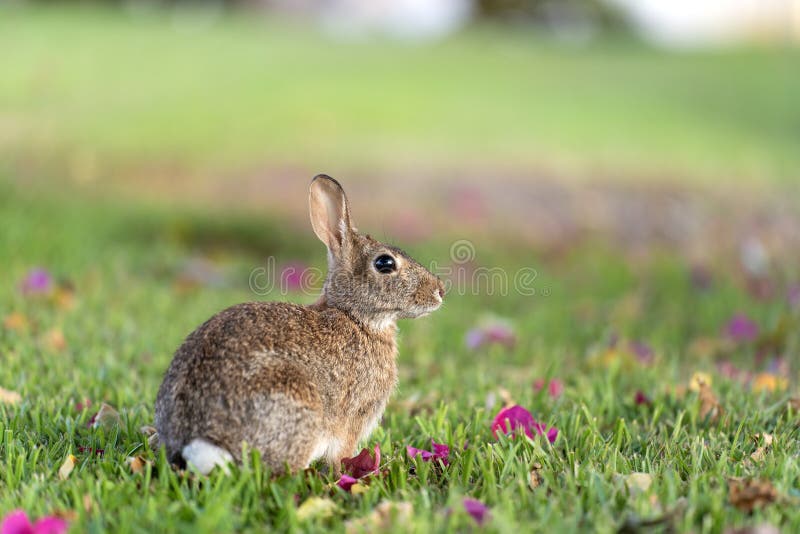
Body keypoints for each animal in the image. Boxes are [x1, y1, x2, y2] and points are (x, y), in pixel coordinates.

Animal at [154, 174, 445, 475]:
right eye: (385, 263)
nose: (440, 291)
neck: (355, 317)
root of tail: (199, 441)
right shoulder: (353, 417)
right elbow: (341, 454)